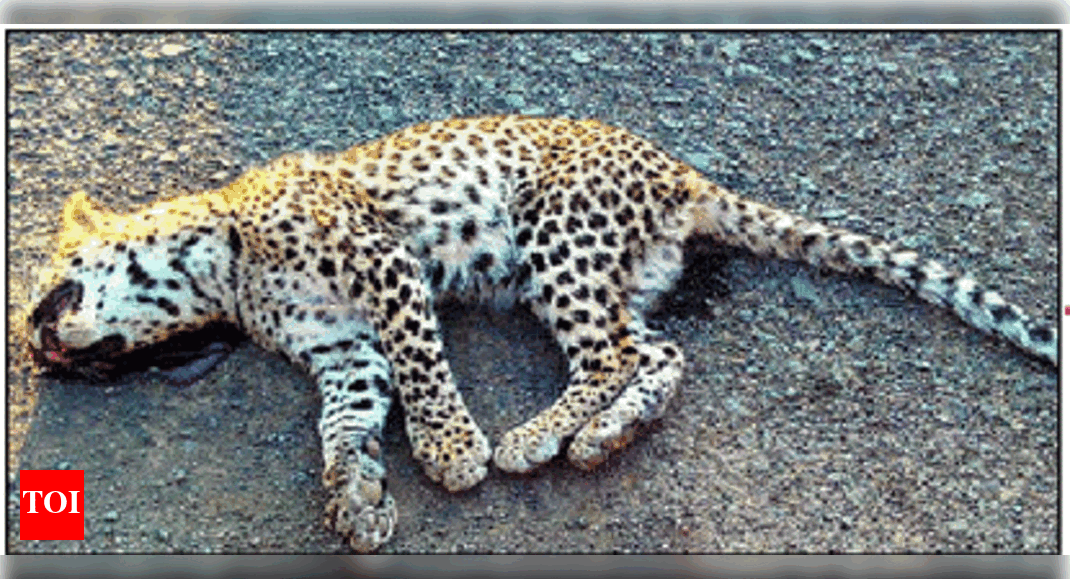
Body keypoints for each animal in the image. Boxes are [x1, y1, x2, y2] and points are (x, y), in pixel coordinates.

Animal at [27, 115, 1057, 552]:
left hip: (558, 236)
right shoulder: (341, 348)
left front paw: (450, 451)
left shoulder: (385, 266)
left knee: (607, 355)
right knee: (658, 351)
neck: (225, 270)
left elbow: (425, 368)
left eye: (43, 286)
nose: (37, 351)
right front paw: (356, 496)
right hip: (605, 277)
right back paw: (603, 435)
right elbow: (344, 424)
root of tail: (680, 172)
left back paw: (533, 436)